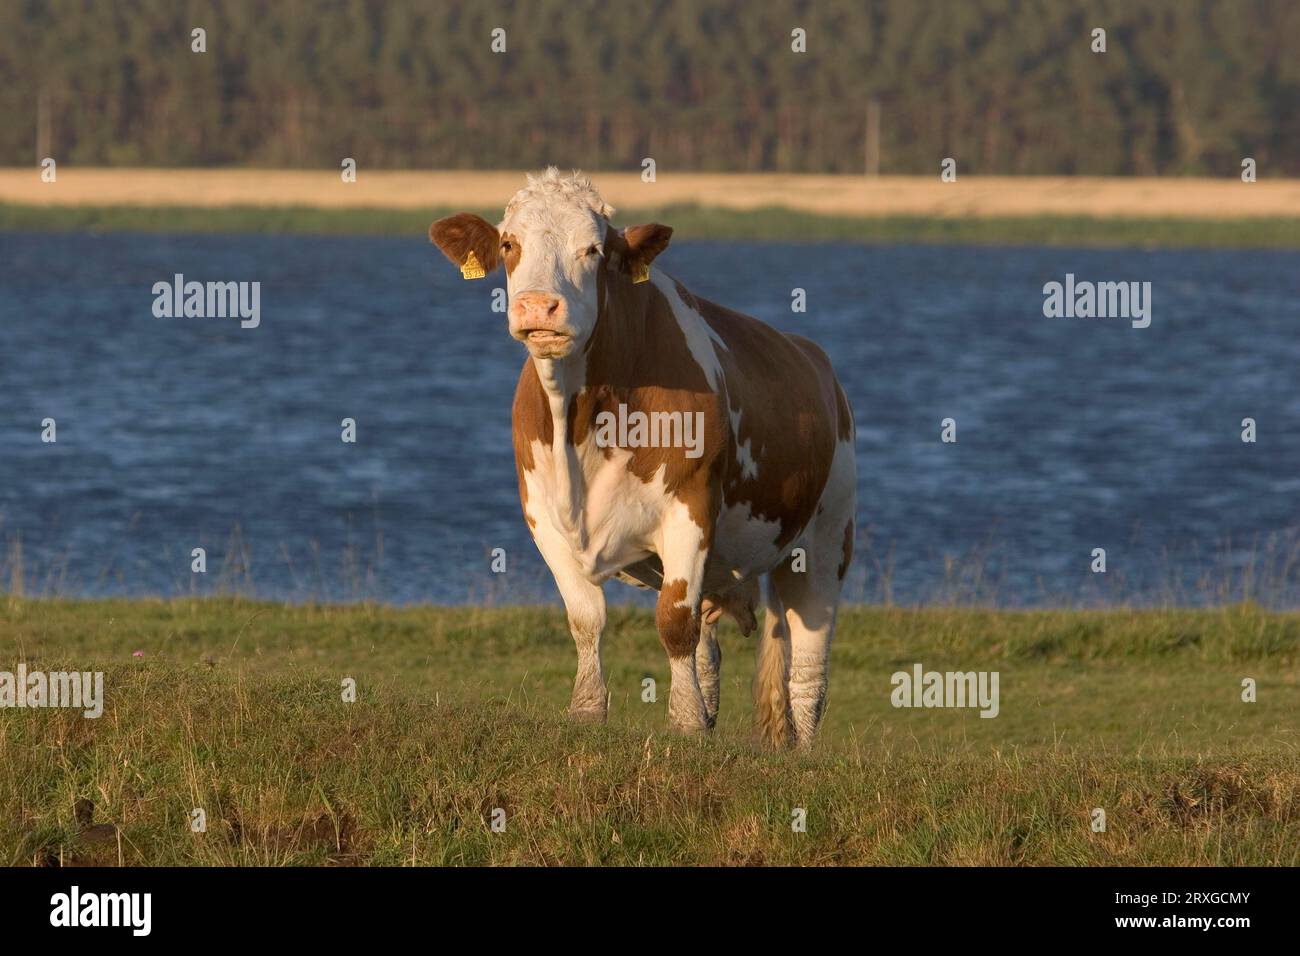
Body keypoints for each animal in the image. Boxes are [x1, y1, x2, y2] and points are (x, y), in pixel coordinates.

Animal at [429, 168, 856, 748]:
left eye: (593, 250)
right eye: (509, 245)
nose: (538, 307)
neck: (581, 423)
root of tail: (817, 361)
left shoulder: (689, 508)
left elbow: (673, 624)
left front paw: (684, 723)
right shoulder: (542, 516)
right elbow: (586, 619)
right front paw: (590, 711)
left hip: (826, 540)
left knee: (808, 669)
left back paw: (805, 754)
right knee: (710, 651)